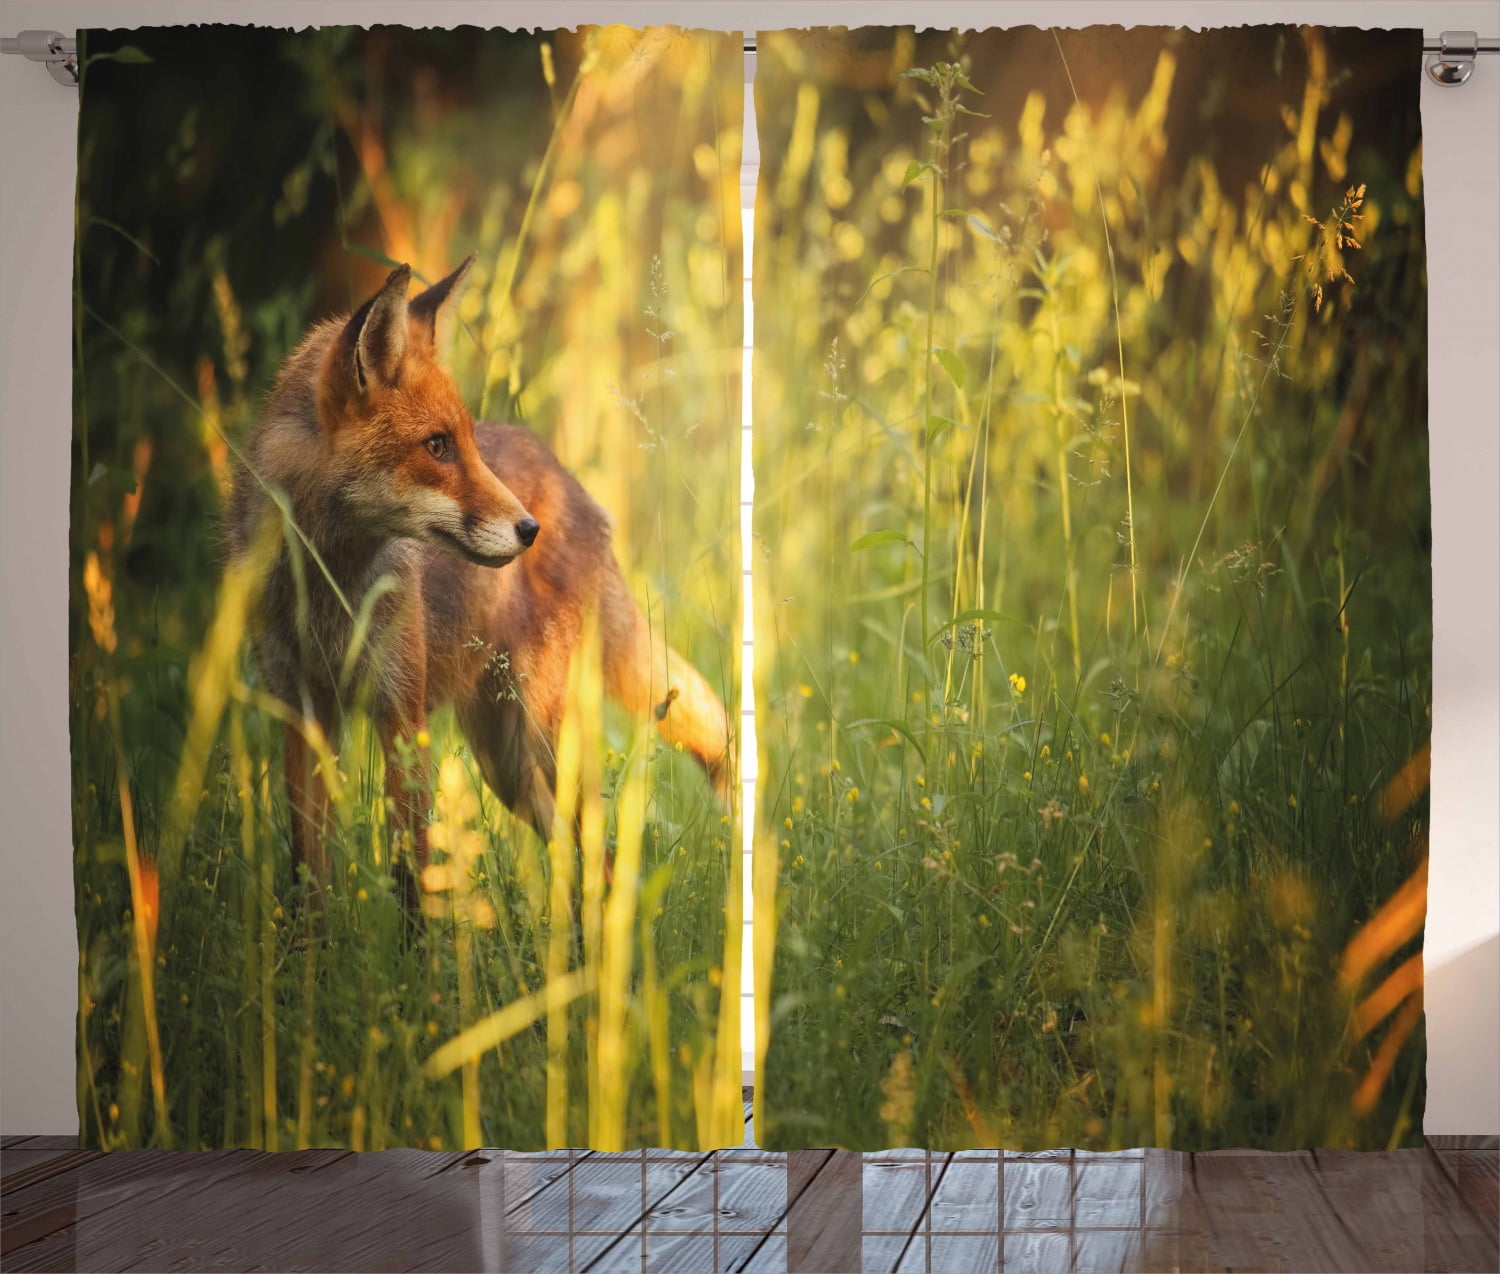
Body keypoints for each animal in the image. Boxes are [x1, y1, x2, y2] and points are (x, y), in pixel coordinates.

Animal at [228, 256, 730, 901]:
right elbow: (307, 880)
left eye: (465, 442)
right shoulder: (302, 713)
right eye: (437, 446)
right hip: (507, 764)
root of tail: (574, 488)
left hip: (541, 744)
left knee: (602, 858)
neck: (326, 587)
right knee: (580, 859)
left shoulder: (403, 717)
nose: (529, 528)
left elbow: (413, 881)